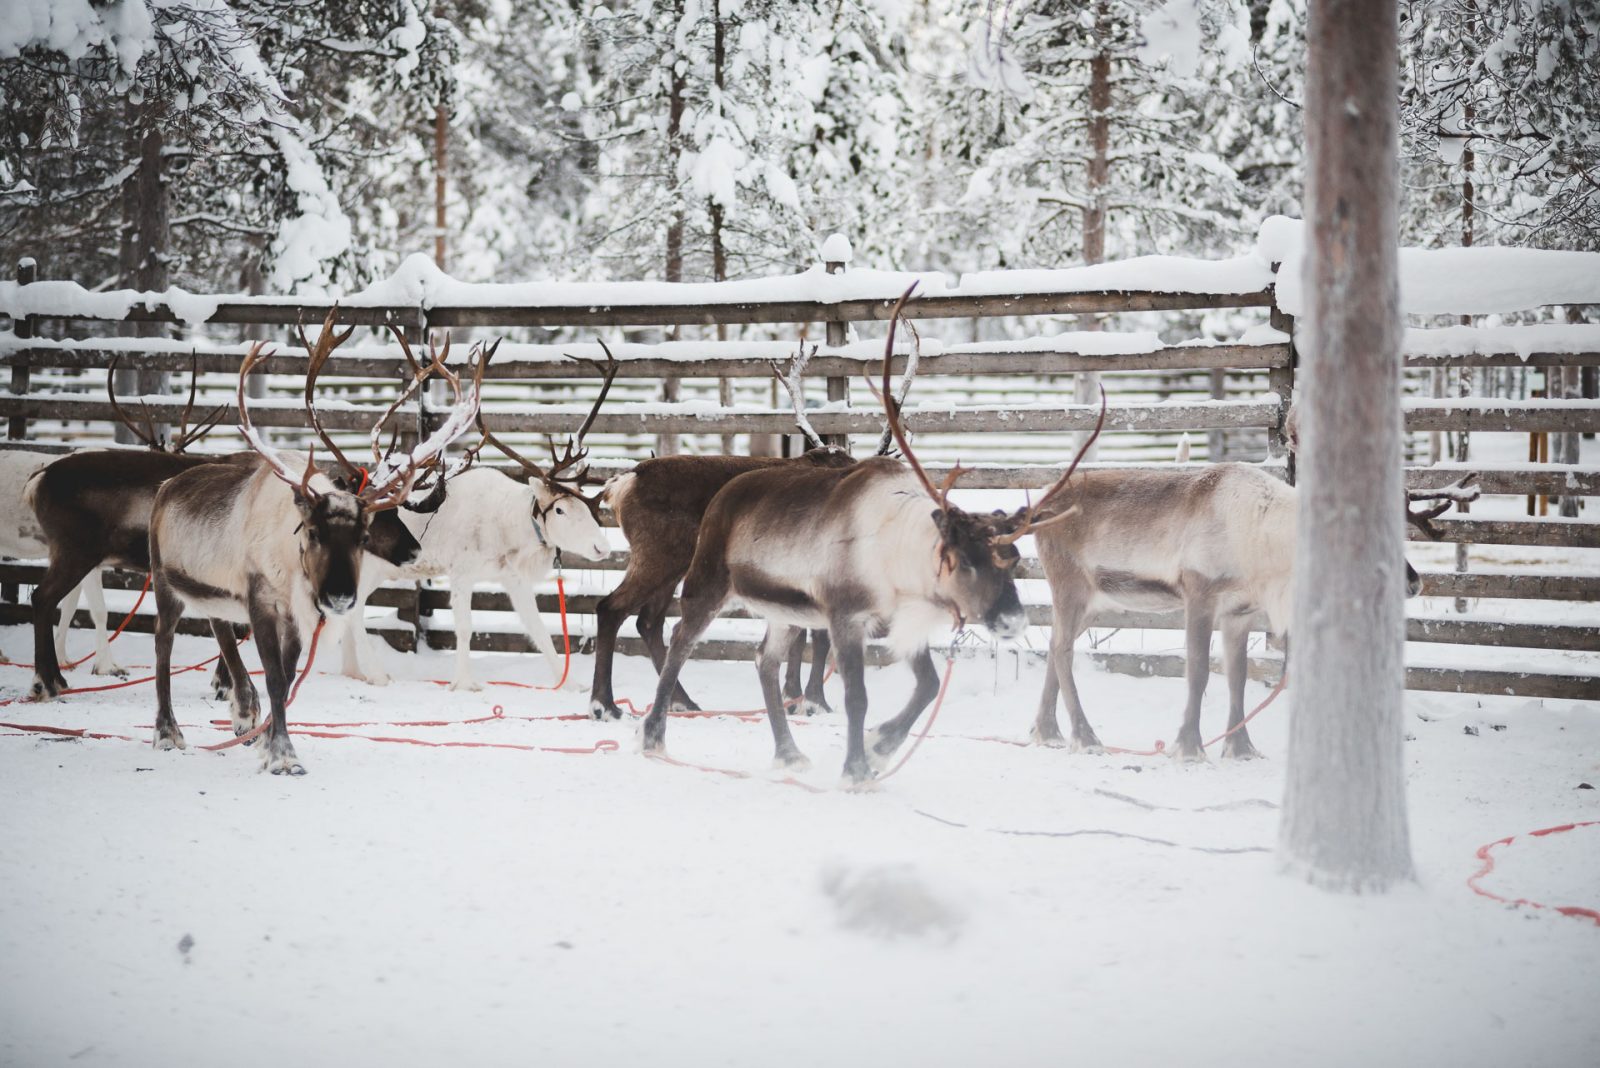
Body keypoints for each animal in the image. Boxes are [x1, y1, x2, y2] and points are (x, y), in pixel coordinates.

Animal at [20, 316, 424, 701]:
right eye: (381, 518)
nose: (414, 549)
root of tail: (36, 481)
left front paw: (224, 682)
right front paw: (226, 684)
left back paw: (56, 677)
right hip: (74, 551)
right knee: (42, 597)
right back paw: (47, 681)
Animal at [147, 337, 483, 774]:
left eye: (363, 535)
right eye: (312, 532)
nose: (339, 596)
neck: (295, 569)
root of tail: (166, 484)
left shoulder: (296, 614)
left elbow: (288, 677)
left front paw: (268, 742)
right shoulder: (261, 601)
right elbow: (275, 677)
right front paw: (283, 756)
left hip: (215, 588)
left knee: (217, 624)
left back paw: (241, 713)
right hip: (163, 581)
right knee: (163, 644)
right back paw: (167, 732)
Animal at [337, 338, 618, 692]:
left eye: (588, 508)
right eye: (560, 508)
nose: (602, 548)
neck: (510, 532)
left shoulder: (513, 579)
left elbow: (539, 630)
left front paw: (571, 684)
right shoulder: (461, 571)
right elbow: (465, 627)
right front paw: (464, 683)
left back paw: (354, 671)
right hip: (371, 564)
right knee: (353, 610)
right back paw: (374, 673)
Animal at [637, 285, 1093, 784]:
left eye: (1011, 560)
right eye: (963, 561)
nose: (1012, 621)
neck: (897, 557)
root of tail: (726, 492)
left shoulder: (897, 618)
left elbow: (929, 685)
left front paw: (879, 748)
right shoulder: (844, 614)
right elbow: (857, 696)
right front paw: (857, 767)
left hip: (782, 608)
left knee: (764, 660)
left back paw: (788, 753)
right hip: (708, 580)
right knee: (680, 639)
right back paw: (654, 736)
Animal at [1029, 404, 1479, 761]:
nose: (1414, 584)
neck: (1265, 549)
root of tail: (1038, 506)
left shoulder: (1240, 613)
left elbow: (1238, 678)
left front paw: (1241, 748)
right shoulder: (1199, 593)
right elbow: (1198, 672)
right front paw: (1189, 747)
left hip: (1095, 602)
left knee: (1052, 647)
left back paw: (1046, 732)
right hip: (1070, 585)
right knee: (1063, 651)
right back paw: (1085, 737)